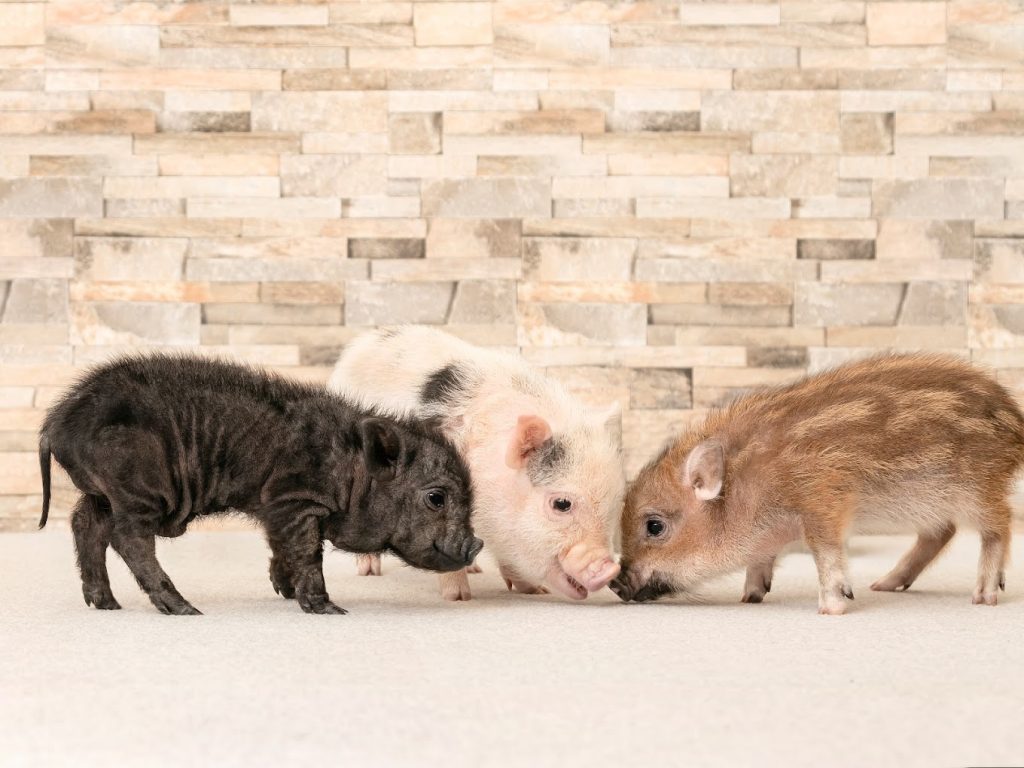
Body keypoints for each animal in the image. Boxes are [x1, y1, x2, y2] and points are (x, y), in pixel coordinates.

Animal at [38, 354, 481, 615]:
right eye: (436, 497)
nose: (476, 544)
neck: (350, 469)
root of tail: (56, 422)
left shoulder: (277, 508)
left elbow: (283, 547)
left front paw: (283, 591)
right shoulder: (295, 499)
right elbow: (307, 552)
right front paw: (330, 610)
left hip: (102, 491)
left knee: (86, 524)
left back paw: (106, 605)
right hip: (139, 488)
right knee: (127, 537)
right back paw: (186, 609)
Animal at [328, 326, 623, 601]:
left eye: (615, 505)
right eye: (561, 504)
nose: (610, 569)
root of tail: (366, 340)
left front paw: (536, 591)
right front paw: (459, 598)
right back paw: (369, 571)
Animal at [611, 354, 1024, 614]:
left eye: (654, 526)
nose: (615, 584)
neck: (750, 486)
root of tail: (1016, 423)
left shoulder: (823, 496)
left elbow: (824, 550)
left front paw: (832, 607)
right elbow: (762, 559)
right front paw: (751, 597)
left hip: (978, 486)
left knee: (1000, 523)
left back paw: (984, 595)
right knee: (942, 532)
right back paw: (884, 584)